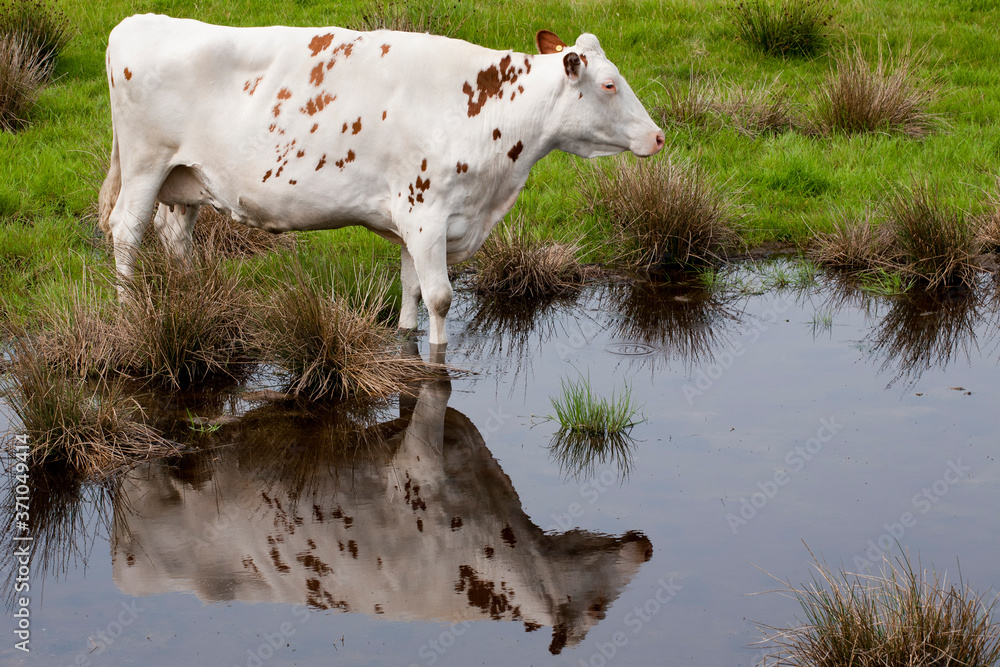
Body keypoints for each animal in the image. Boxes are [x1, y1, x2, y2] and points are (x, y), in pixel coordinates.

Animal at [98, 15, 665, 348]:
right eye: (609, 85)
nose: (658, 136)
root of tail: (140, 19)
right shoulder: (428, 214)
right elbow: (439, 297)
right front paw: (438, 355)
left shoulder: (414, 221)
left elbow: (410, 290)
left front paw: (408, 339)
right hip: (146, 163)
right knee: (127, 231)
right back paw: (130, 312)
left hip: (187, 177)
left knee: (175, 235)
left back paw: (193, 294)